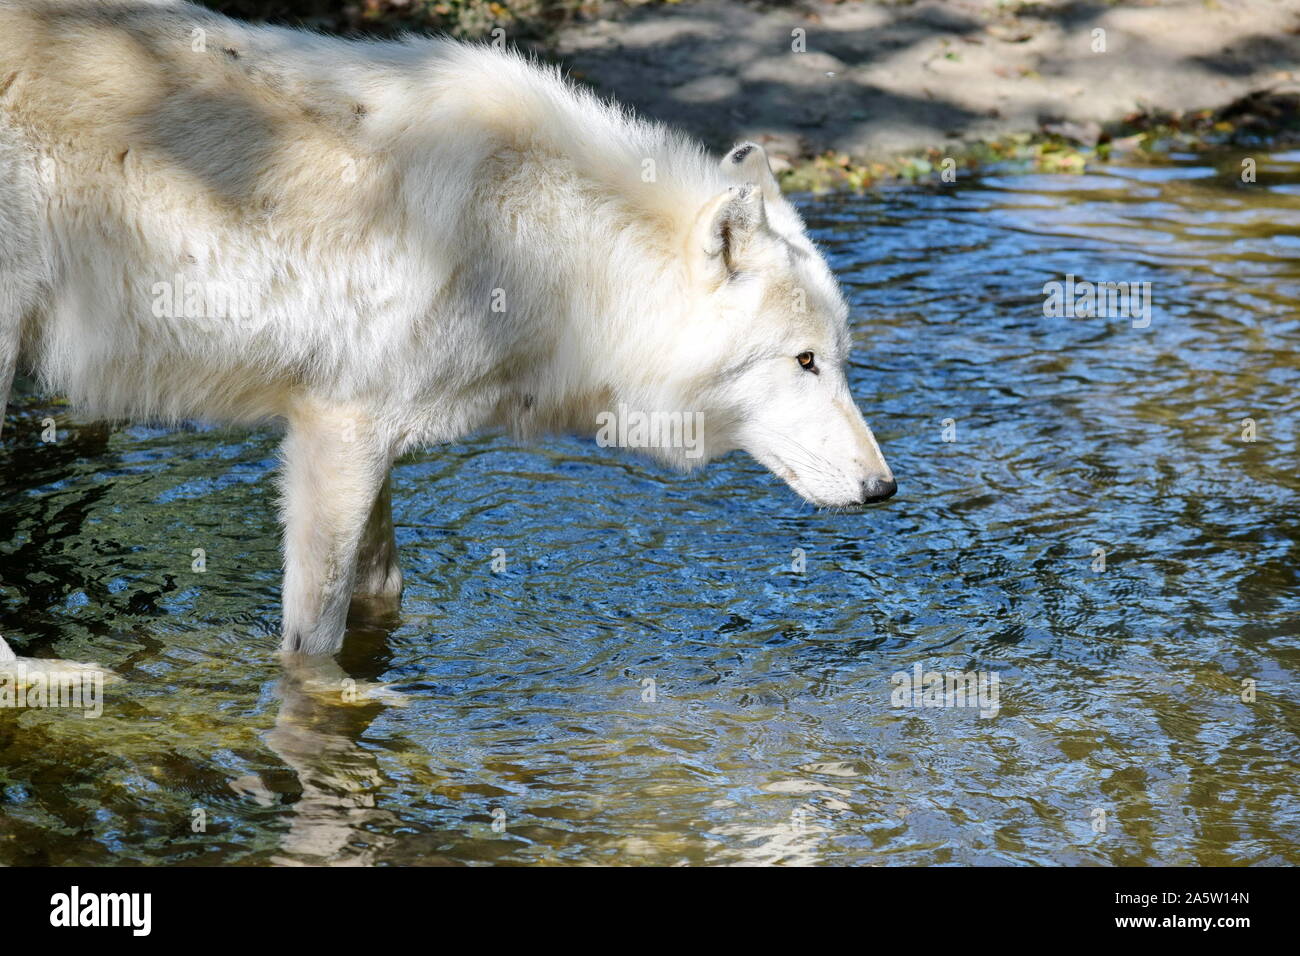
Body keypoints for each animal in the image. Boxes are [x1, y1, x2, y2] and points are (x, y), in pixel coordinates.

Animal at [0, 0, 896, 655]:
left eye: (842, 360)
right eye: (804, 361)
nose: (886, 489)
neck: (545, 248)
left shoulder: (369, 439)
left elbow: (384, 592)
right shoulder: (337, 431)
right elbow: (312, 644)